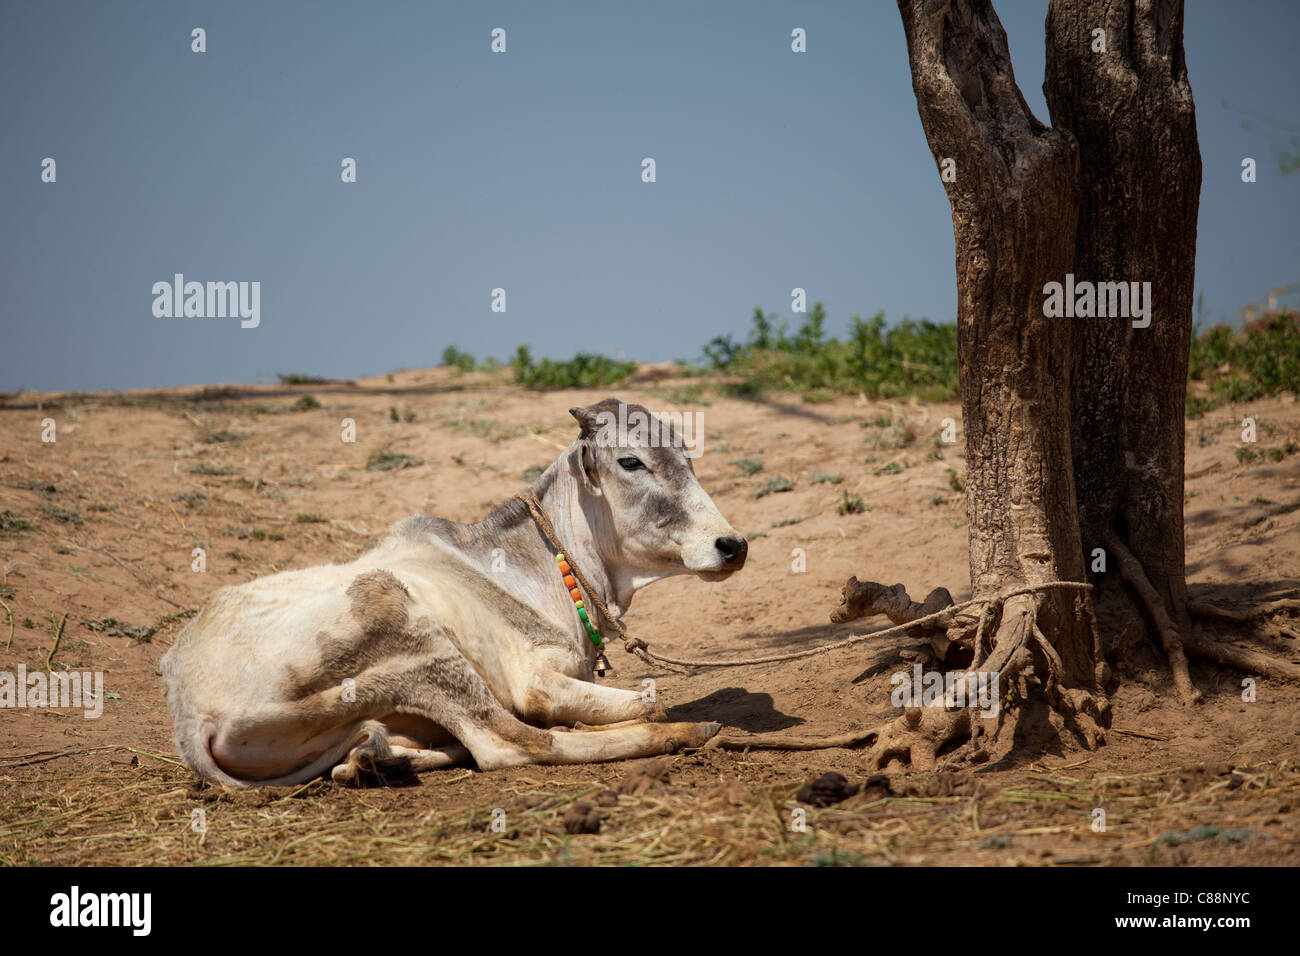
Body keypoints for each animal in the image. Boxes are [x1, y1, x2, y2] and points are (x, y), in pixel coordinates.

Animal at [160, 398, 747, 787]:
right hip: (409, 630)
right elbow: (650, 702)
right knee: (511, 743)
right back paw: (688, 732)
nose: (732, 545)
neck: (531, 568)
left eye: (688, 459)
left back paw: (375, 760)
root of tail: (189, 710)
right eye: (630, 461)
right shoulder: (534, 681)